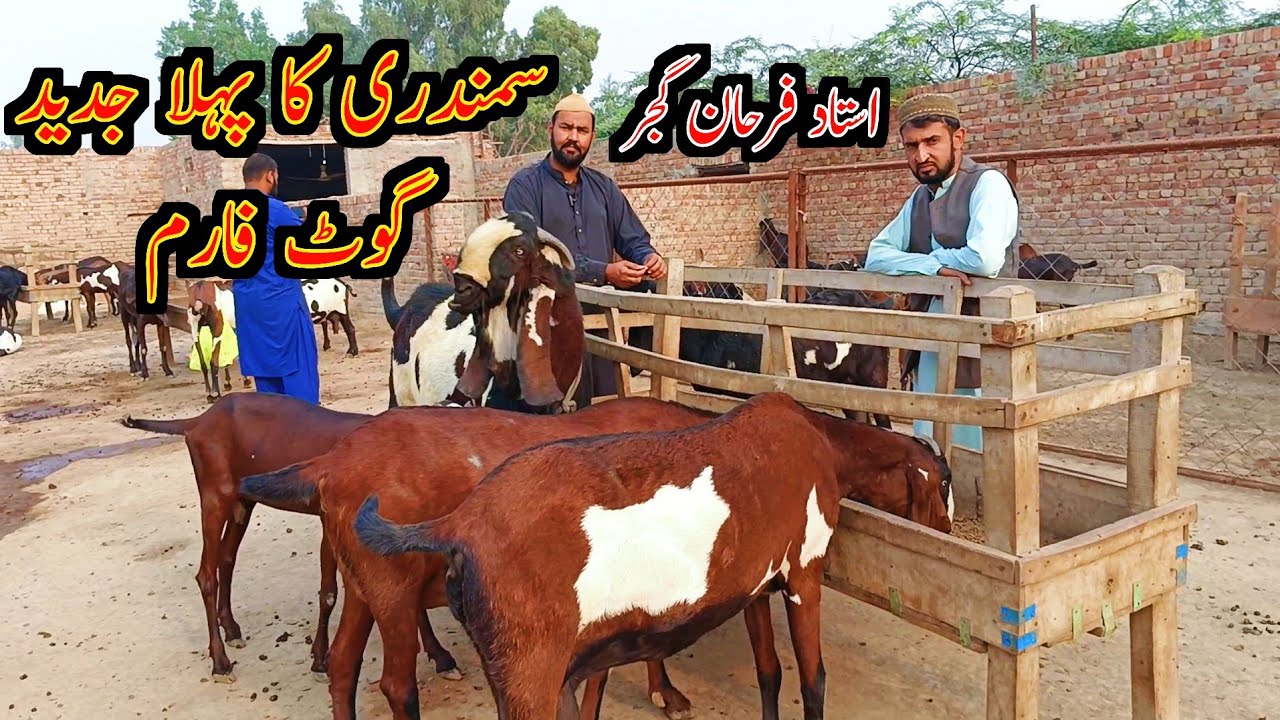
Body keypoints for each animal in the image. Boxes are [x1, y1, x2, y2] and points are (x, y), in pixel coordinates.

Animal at [118, 392, 459, 684]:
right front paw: (320, 660)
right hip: (215, 497)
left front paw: (441, 656)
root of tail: (199, 420)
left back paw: (231, 629)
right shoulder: (335, 524)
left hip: (242, 503)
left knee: (226, 561)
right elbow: (329, 593)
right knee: (206, 575)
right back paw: (220, 661)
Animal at [238, 396, 723, 720]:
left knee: (342, 665)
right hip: (393, 590)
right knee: (397, 684)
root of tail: (331, 465)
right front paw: (666, 691)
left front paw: (665, 692)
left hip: (361, 585)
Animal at [353, 391, 954, 719]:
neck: (819, 442)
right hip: (530, 668)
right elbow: (814, 681)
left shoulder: (755, 587)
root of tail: (459, 523)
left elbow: (768, 673)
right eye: (943, 483)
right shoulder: (803, 573)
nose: (948, 532)